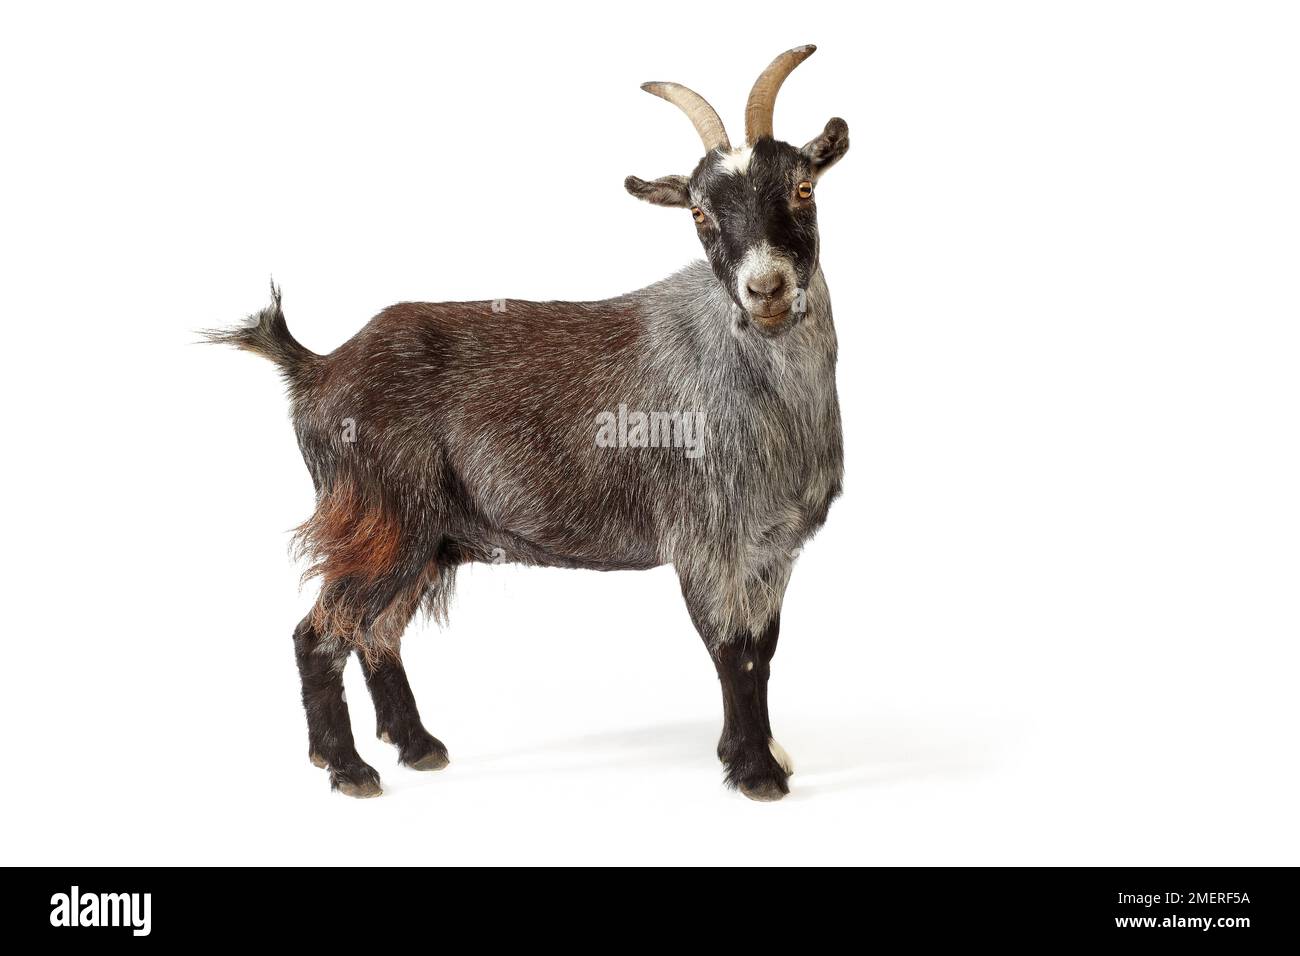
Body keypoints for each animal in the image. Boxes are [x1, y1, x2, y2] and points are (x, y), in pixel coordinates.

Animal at [206, 45, 849, 801]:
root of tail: (318, 366)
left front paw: (762, 753)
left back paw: (418, 746)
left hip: (426, 536)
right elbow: (734, 654)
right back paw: (349, 768)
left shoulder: (771, 547)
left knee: (377, 633)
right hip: (381, 516)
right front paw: (755, 772)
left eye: (803, 188)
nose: (765, 288)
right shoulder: (707, 536)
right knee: (321, 632)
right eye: (698, 211)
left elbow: (765, 651)